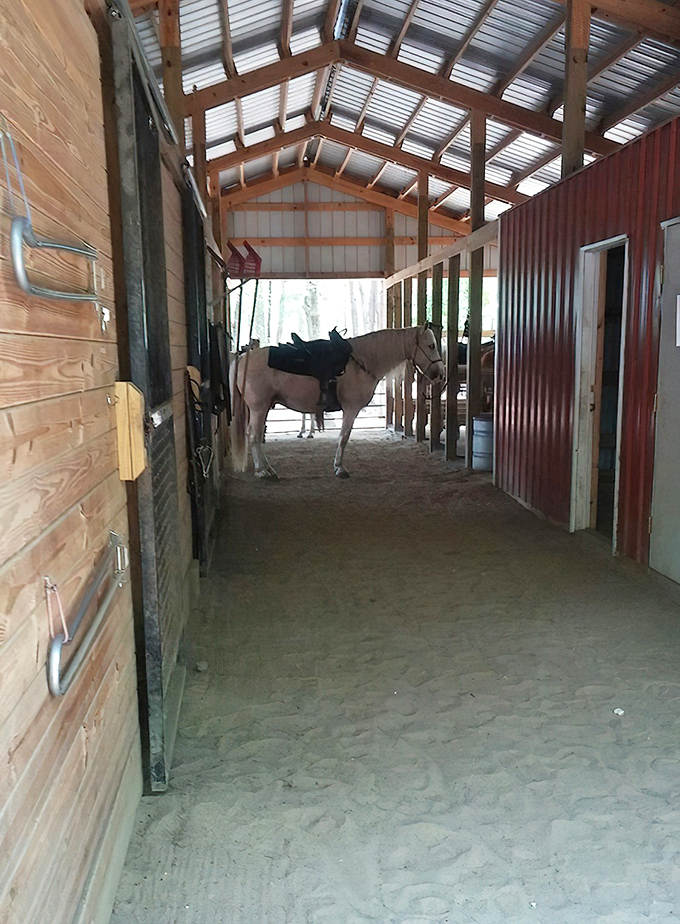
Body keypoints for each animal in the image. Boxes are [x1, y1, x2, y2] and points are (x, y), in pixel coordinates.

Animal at [230, 323, 445, 479]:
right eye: (431, 346)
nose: (440, 374)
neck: (361, 361)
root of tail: (242, 359)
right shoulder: (351, 409)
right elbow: (344, 437)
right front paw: (340, 468)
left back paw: (268, 469)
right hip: (259, 408)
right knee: (254, 436)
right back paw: (262, 471)